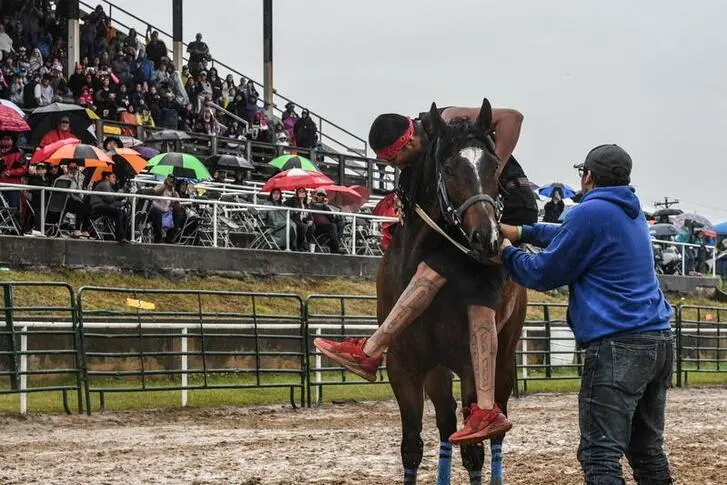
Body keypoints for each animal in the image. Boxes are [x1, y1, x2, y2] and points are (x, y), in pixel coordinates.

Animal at [376, 99, 528, 485]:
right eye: (448, 168)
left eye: (493, 165)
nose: (487, 237)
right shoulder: (404, 366)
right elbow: (412, 447)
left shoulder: (472, 365)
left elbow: (473, 449)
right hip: (437, 370)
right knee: (446, 424)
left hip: (504, 357)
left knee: (495, 427)